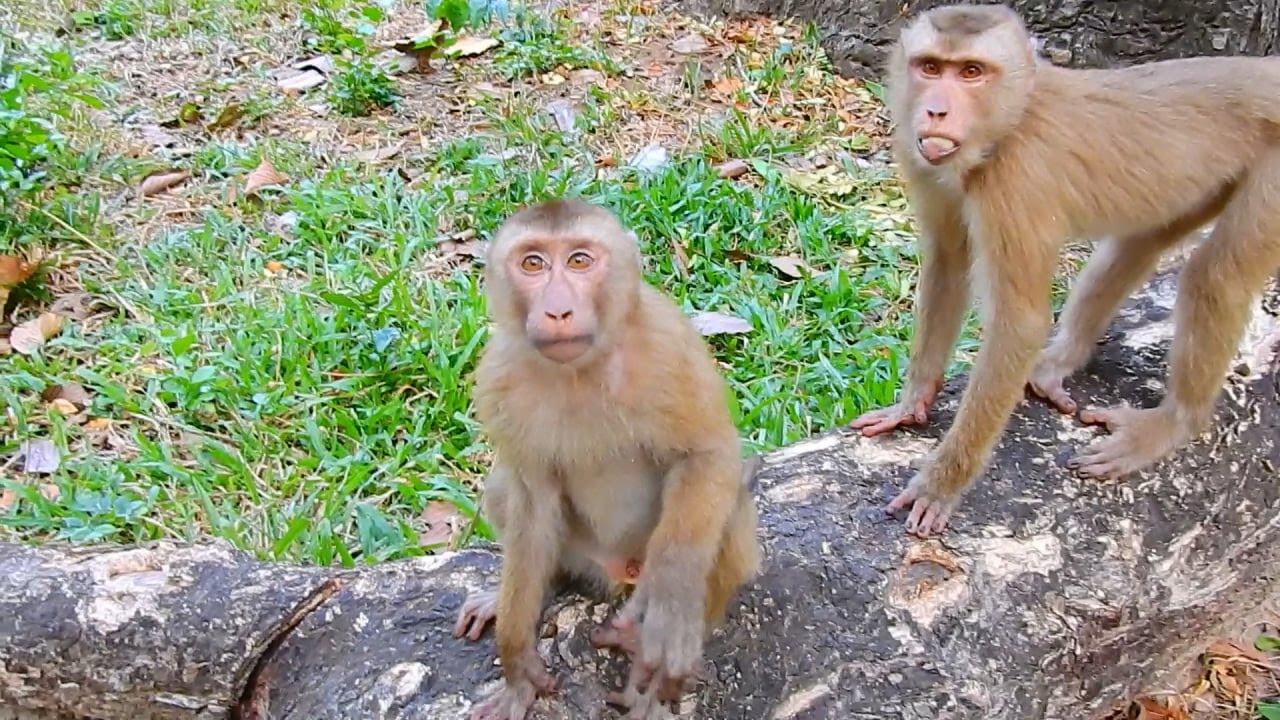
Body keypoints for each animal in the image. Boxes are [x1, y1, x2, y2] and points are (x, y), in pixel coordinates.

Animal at [452, 199, 761, 720]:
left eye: (580, 261)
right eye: (532, 264)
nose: (558, 309)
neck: (581, 369)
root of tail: (620, 570)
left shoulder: (668, 342)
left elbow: (707, 455)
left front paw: (670, 609)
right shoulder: (497, 377)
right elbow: (531, 499)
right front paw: (517, 662)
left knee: (730, 502)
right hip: (584, 554)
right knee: (505, 489)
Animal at [850, 3, 1280, 537]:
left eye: (971, 72)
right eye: (930, 67)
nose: (936, 111)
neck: (1011, 121)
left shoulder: (1015, 184)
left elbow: (1020, 324)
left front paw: (943, 484)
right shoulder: (924, 158)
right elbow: (949, 259)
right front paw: (913, 401)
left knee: (1216, 274)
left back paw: (1176, 422)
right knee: (1144, 239)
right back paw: (1063, 359)